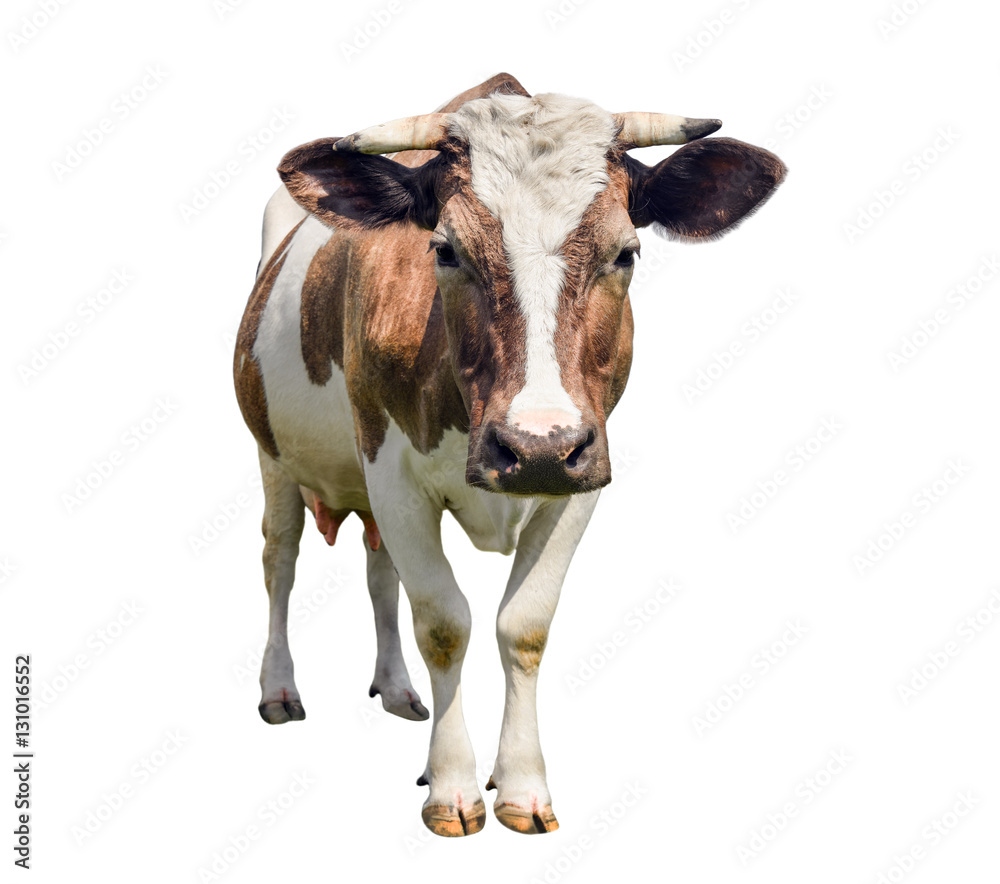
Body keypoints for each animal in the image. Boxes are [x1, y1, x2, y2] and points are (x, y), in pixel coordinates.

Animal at [234, 73, 785, 837]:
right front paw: (452, 788)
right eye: (444, 250)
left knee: (378, 574)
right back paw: (279, 689)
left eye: (626, 253)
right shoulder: (393, 472)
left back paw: (398, 691)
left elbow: (522, 626)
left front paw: (521, 786)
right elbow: (443, 622)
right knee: (279, 563)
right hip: (274, 459)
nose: (535, 445)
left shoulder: (580, 477)